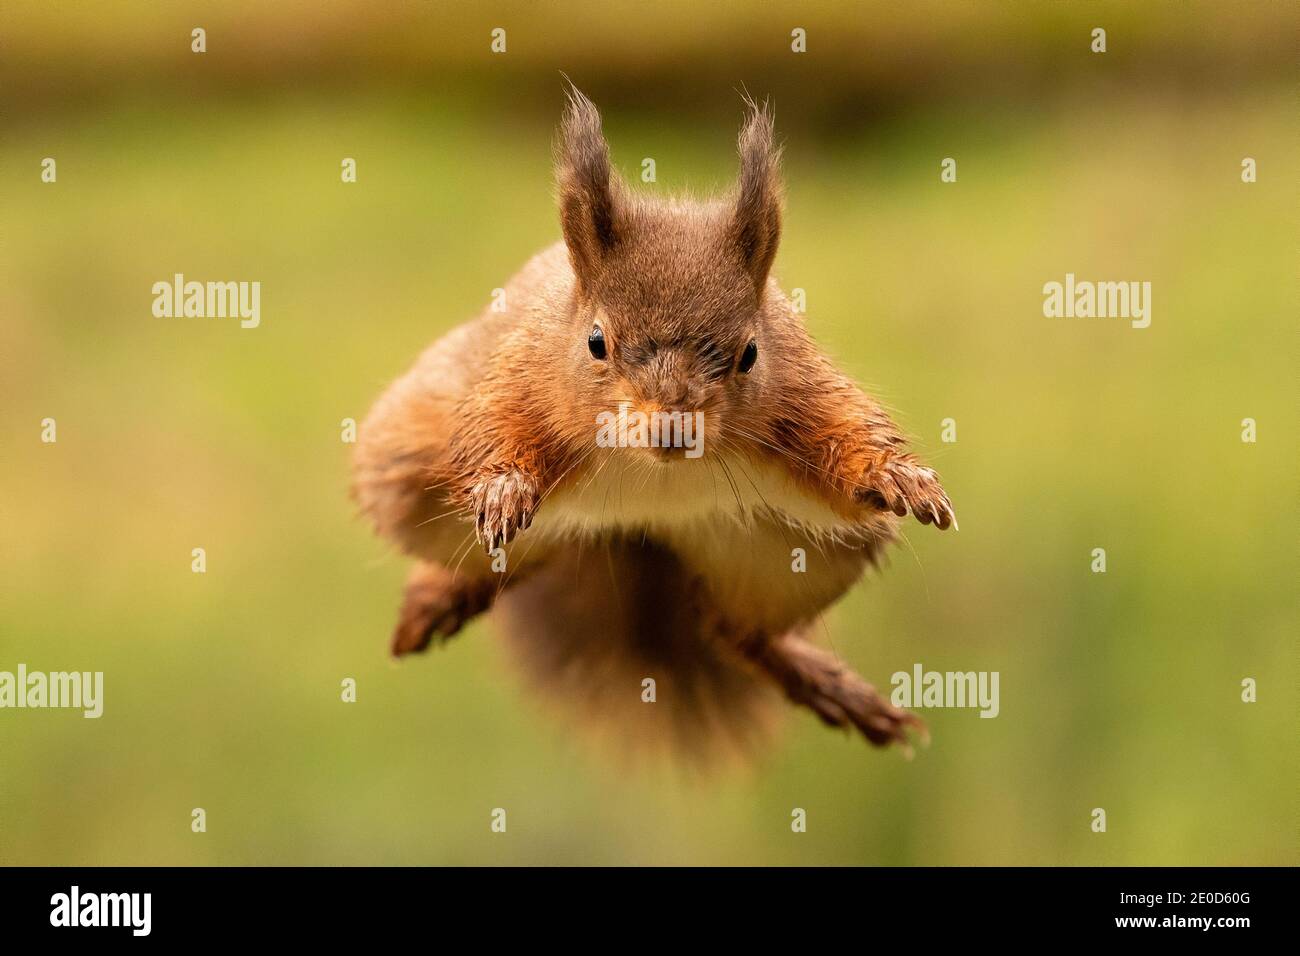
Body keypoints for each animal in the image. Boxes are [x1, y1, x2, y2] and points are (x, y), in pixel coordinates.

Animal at [352, 87, 955, 763]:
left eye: (750, 353)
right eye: (595, 342)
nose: (673, 426)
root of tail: (631, 529)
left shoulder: (800, 393)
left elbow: (848, 430)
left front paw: (899, 477)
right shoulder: (521, 377)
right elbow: (497, 427)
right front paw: (505, 487)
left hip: (798, 558)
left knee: (733, 631)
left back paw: (819, 681)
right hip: (410, 471)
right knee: (492, 559)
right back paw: (438, 598)